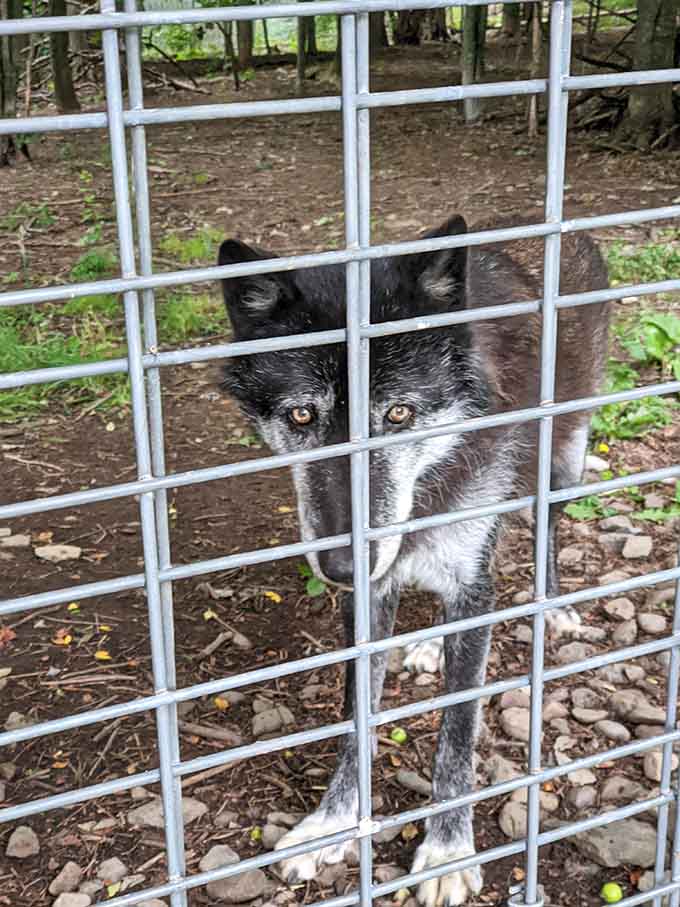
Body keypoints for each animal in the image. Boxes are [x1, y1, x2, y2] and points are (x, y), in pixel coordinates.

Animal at [218, 215, 609, 907]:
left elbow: (457, 734)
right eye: (302, 413)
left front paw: (448, 851)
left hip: (563, 465)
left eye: (399, 412)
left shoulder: (471, 583)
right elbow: (358, 720)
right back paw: (428, 645)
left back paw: (554, 609)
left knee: (546, 528)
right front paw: (334, 823)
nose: (342, 568)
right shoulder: (373, 596)